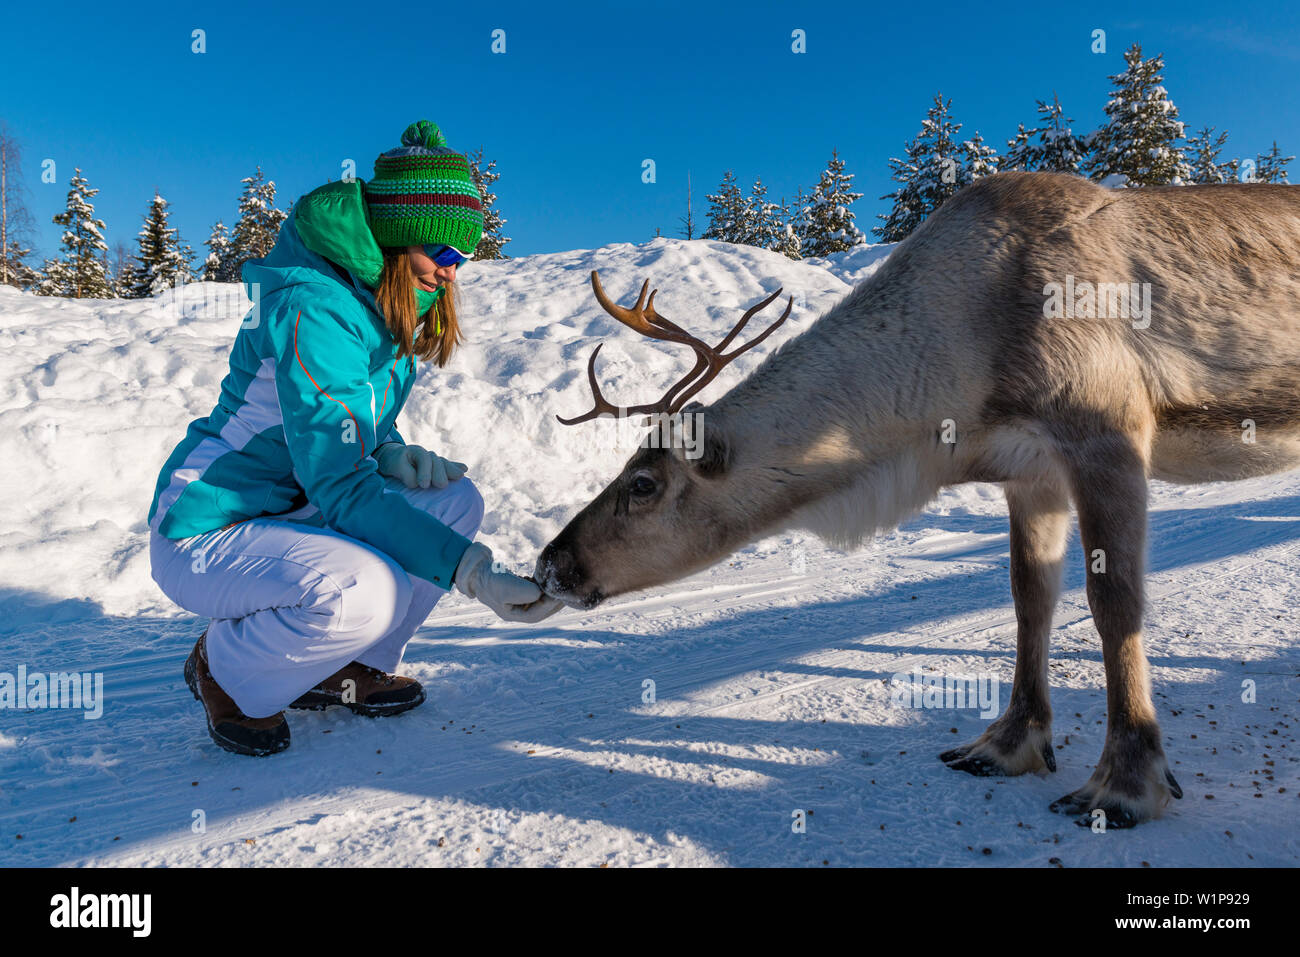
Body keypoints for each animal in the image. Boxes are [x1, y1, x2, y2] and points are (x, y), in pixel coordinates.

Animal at [535, 171, 1300, 828]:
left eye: (644, 483)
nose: (550, 563)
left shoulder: (1107, 434)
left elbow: (1116, 607)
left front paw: (1126, 783)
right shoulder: (1030, 471)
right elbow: (1030, 598)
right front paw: (1007, 744)